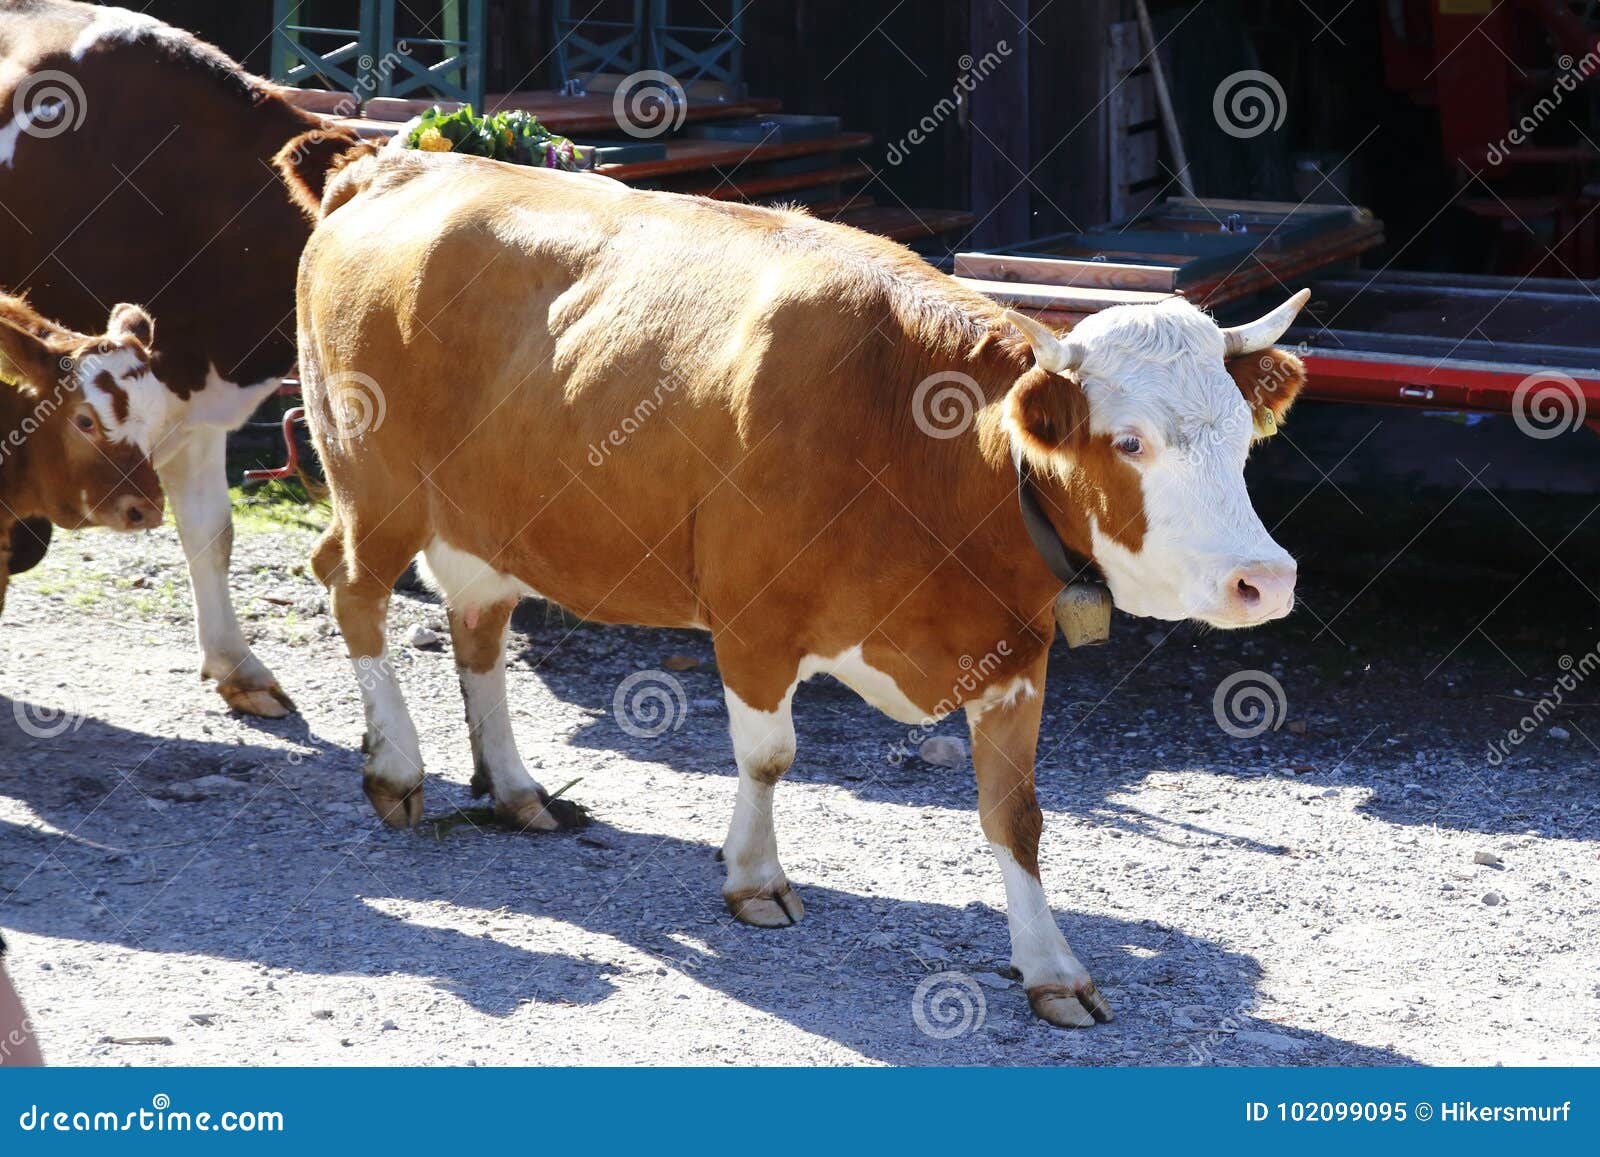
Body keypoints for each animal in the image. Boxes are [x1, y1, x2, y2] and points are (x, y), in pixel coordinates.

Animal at [290, 147, 1308, 1028]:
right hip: (375, 483)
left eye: (1240, 435)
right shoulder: (753, 621)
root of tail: (396, 161)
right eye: (1128, 440)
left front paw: (1052, 969)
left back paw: (514, 788)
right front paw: (755, 878)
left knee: (478, 621)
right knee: (351, 590)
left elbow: (1015, 814)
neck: (912, 444)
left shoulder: (1016, 648)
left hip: (490, 518)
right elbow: (770, 756)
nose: (1265, 579)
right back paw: (396, 767)